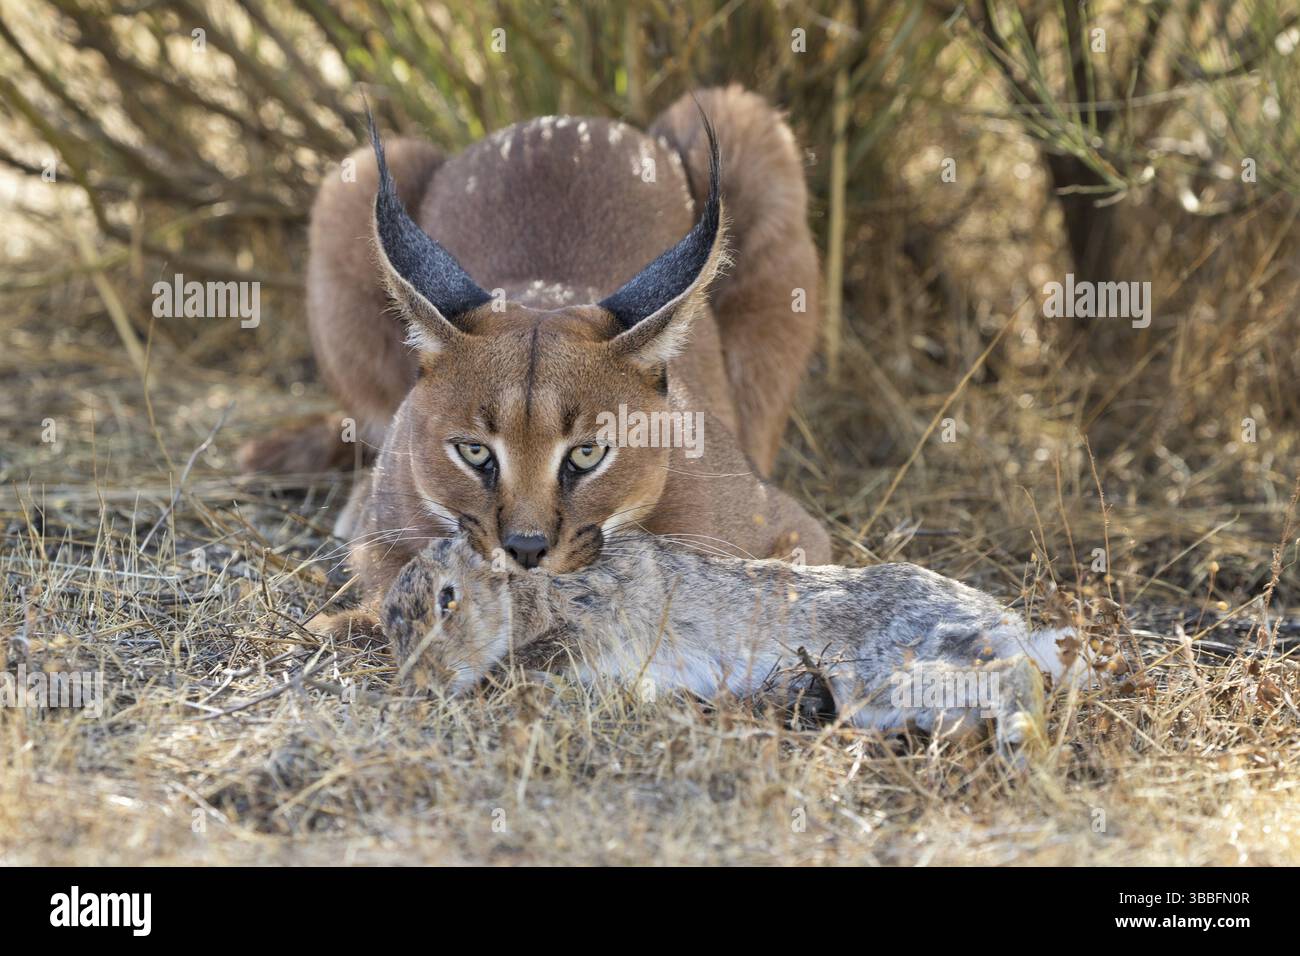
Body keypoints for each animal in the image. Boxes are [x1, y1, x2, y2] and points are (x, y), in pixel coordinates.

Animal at [379, 534, 1090, 765]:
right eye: (389, 623)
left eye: (447, 599)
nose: (417, 687)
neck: (524, 591)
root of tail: (1005, 621)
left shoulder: (591, 626)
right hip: (882, 700)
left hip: (906, 665)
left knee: (1015, 679)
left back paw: (1021, 745)